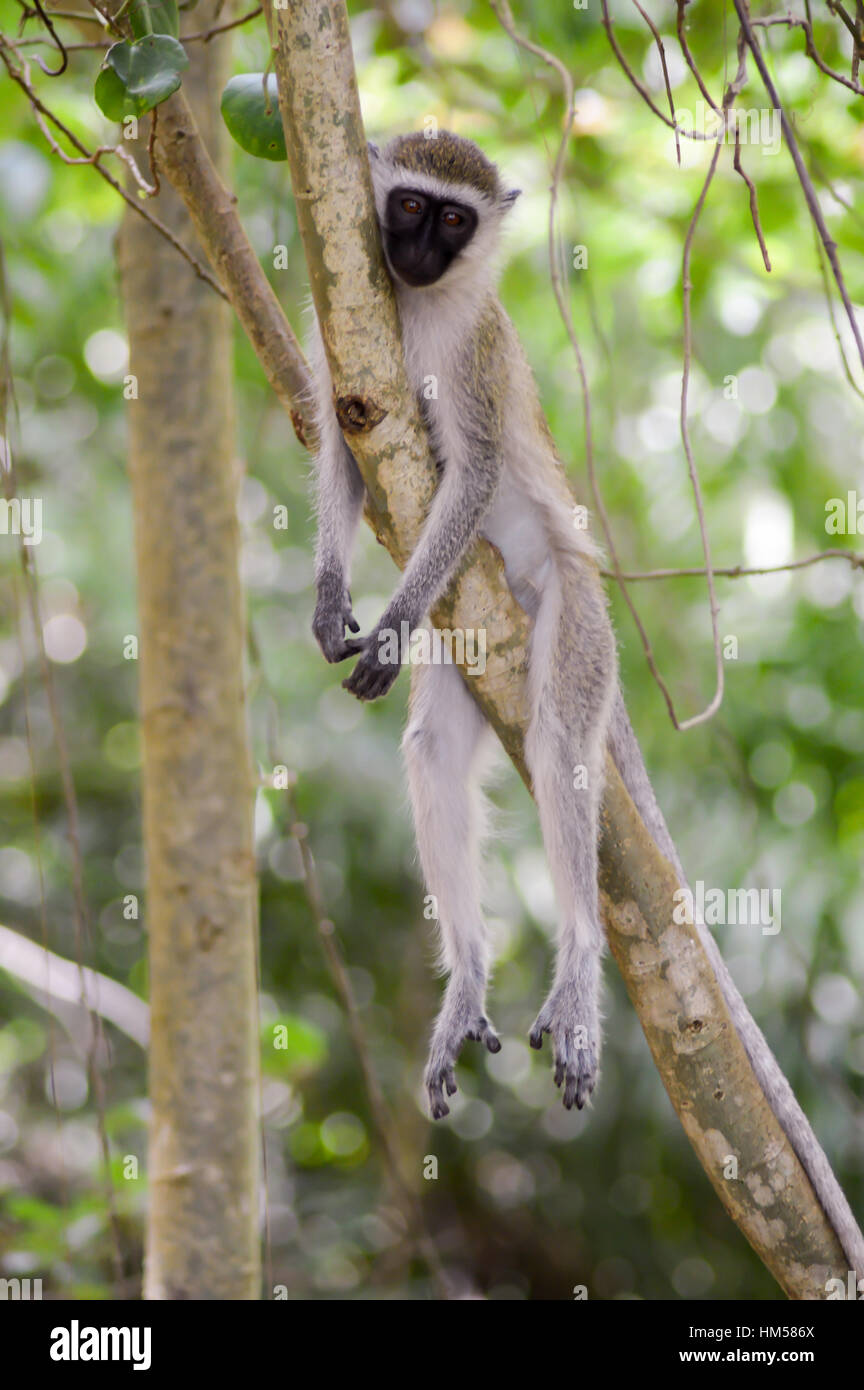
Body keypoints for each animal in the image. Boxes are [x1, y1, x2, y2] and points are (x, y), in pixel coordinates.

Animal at [306, 129, 864, 1276]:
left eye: (457, 220)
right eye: (410, 205)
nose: (419, 253)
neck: (416, 307)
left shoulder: (475, 354)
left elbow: (472, 472)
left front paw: (392, 615)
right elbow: (343, 450)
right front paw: (334, 594)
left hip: (571, 620)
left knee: (565, 738)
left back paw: (576, 970)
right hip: (473, 649)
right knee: (433, 748)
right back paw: (468, 979)